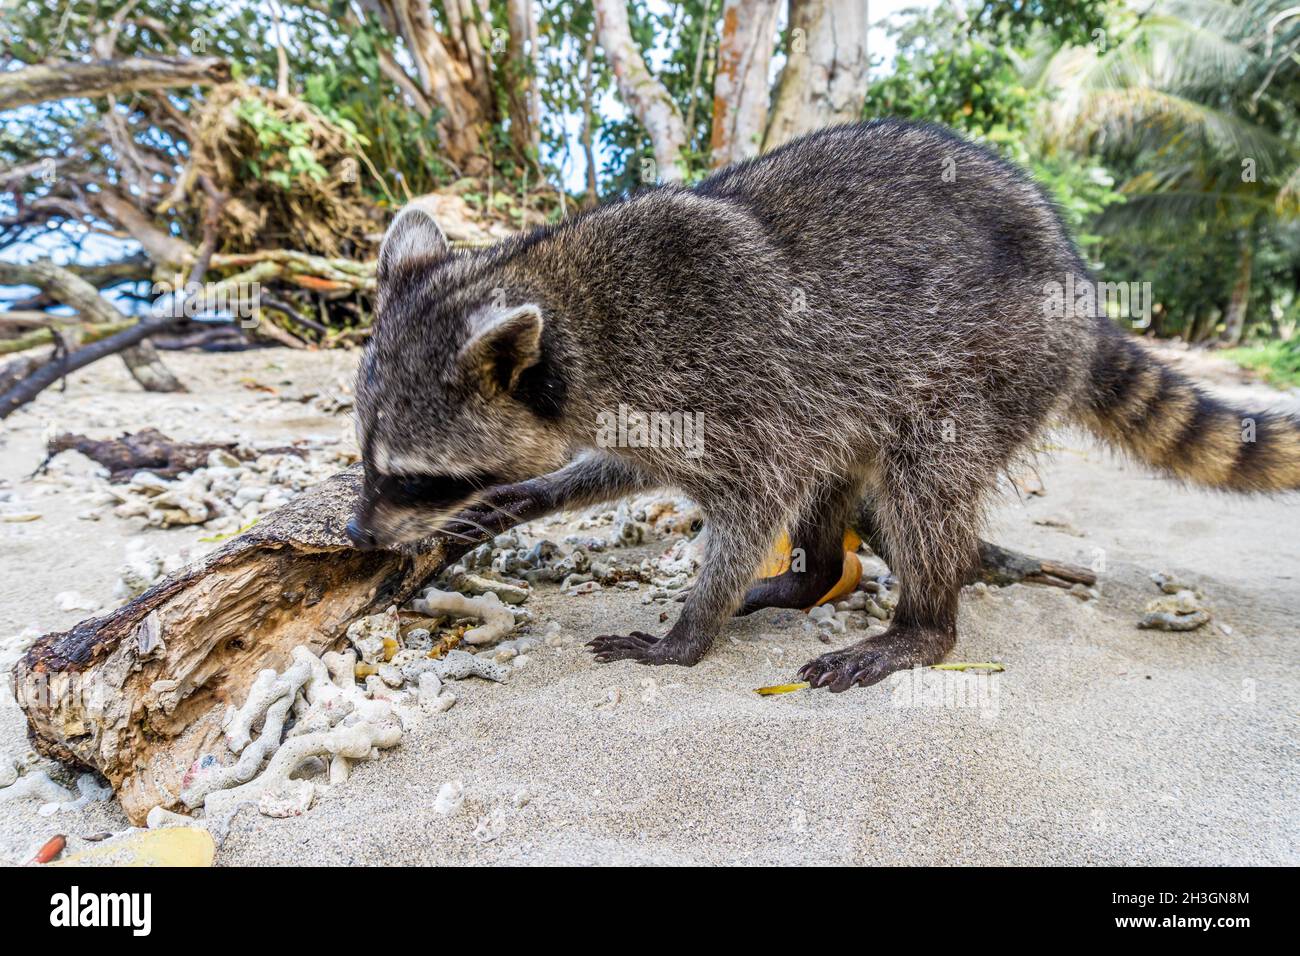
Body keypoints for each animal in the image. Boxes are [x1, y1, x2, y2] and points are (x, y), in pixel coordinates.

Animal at [349, 120, 1300, 692]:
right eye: (366, 459)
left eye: (418, 480)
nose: (359, 536)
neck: (577, 318)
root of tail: (1083, 294)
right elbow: (626, 466)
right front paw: (532, 495)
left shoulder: (727, 384)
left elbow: (755, 502)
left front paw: (691, 630)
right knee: (837, 472)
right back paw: (808, 578)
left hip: (997, 365)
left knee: (924, 483)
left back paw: (923, 623)